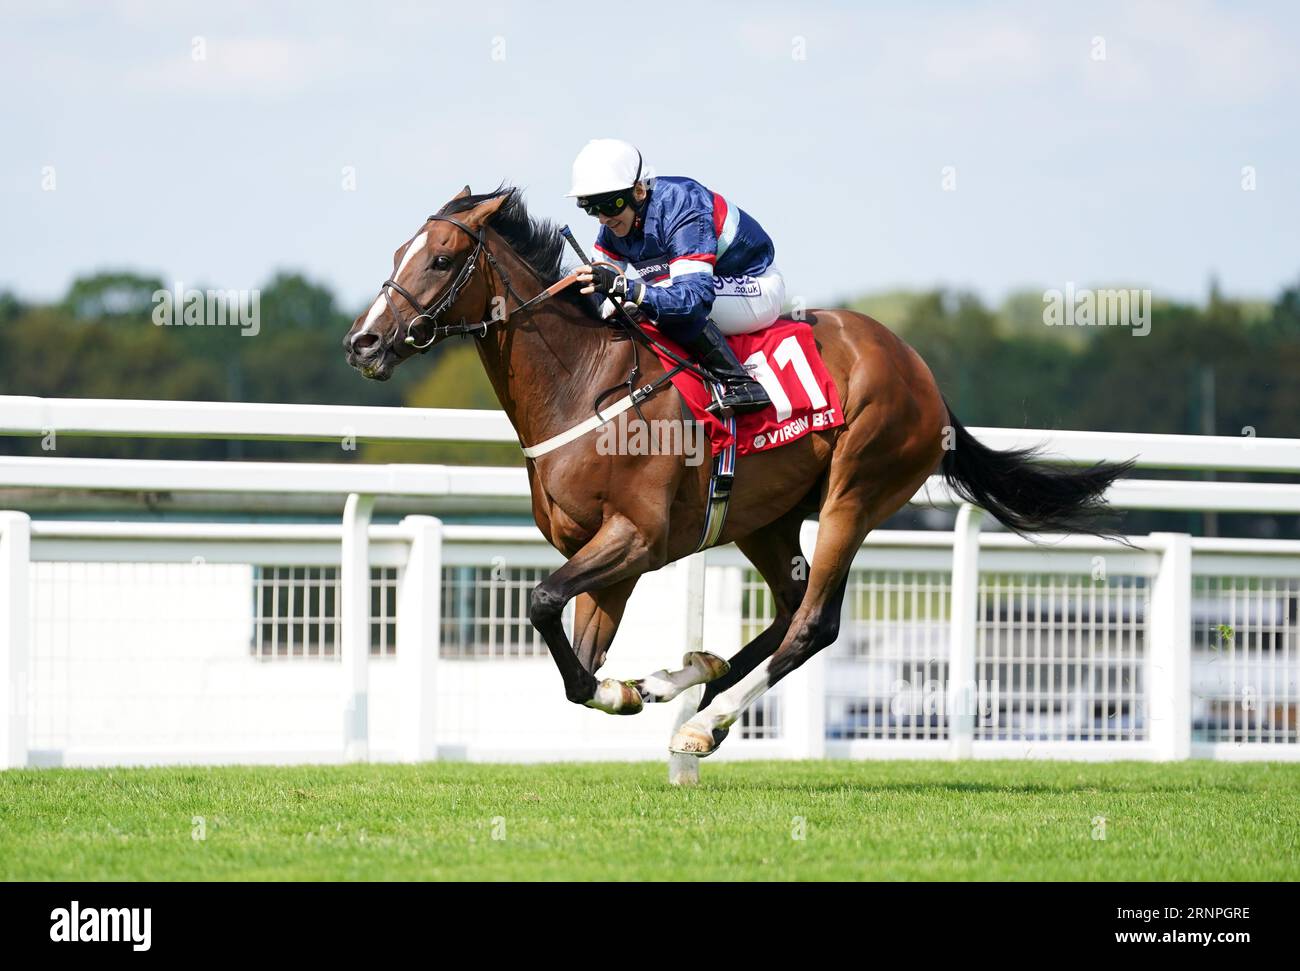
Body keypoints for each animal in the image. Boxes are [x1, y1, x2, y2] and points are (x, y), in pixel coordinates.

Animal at [343, 186, 1131, 757]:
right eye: (399, 250)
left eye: (441, 260)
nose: (363, 342)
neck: (585, 384)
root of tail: (921, 373)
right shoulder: (607, 553)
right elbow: (579, 664)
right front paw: (629, 688)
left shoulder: (637, 538)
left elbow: (540, 604)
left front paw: (632, 691)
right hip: (767, 518)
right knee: (788, 609)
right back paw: (686, 677)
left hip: (855, 490)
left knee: (814, 623)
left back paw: (704, 721)